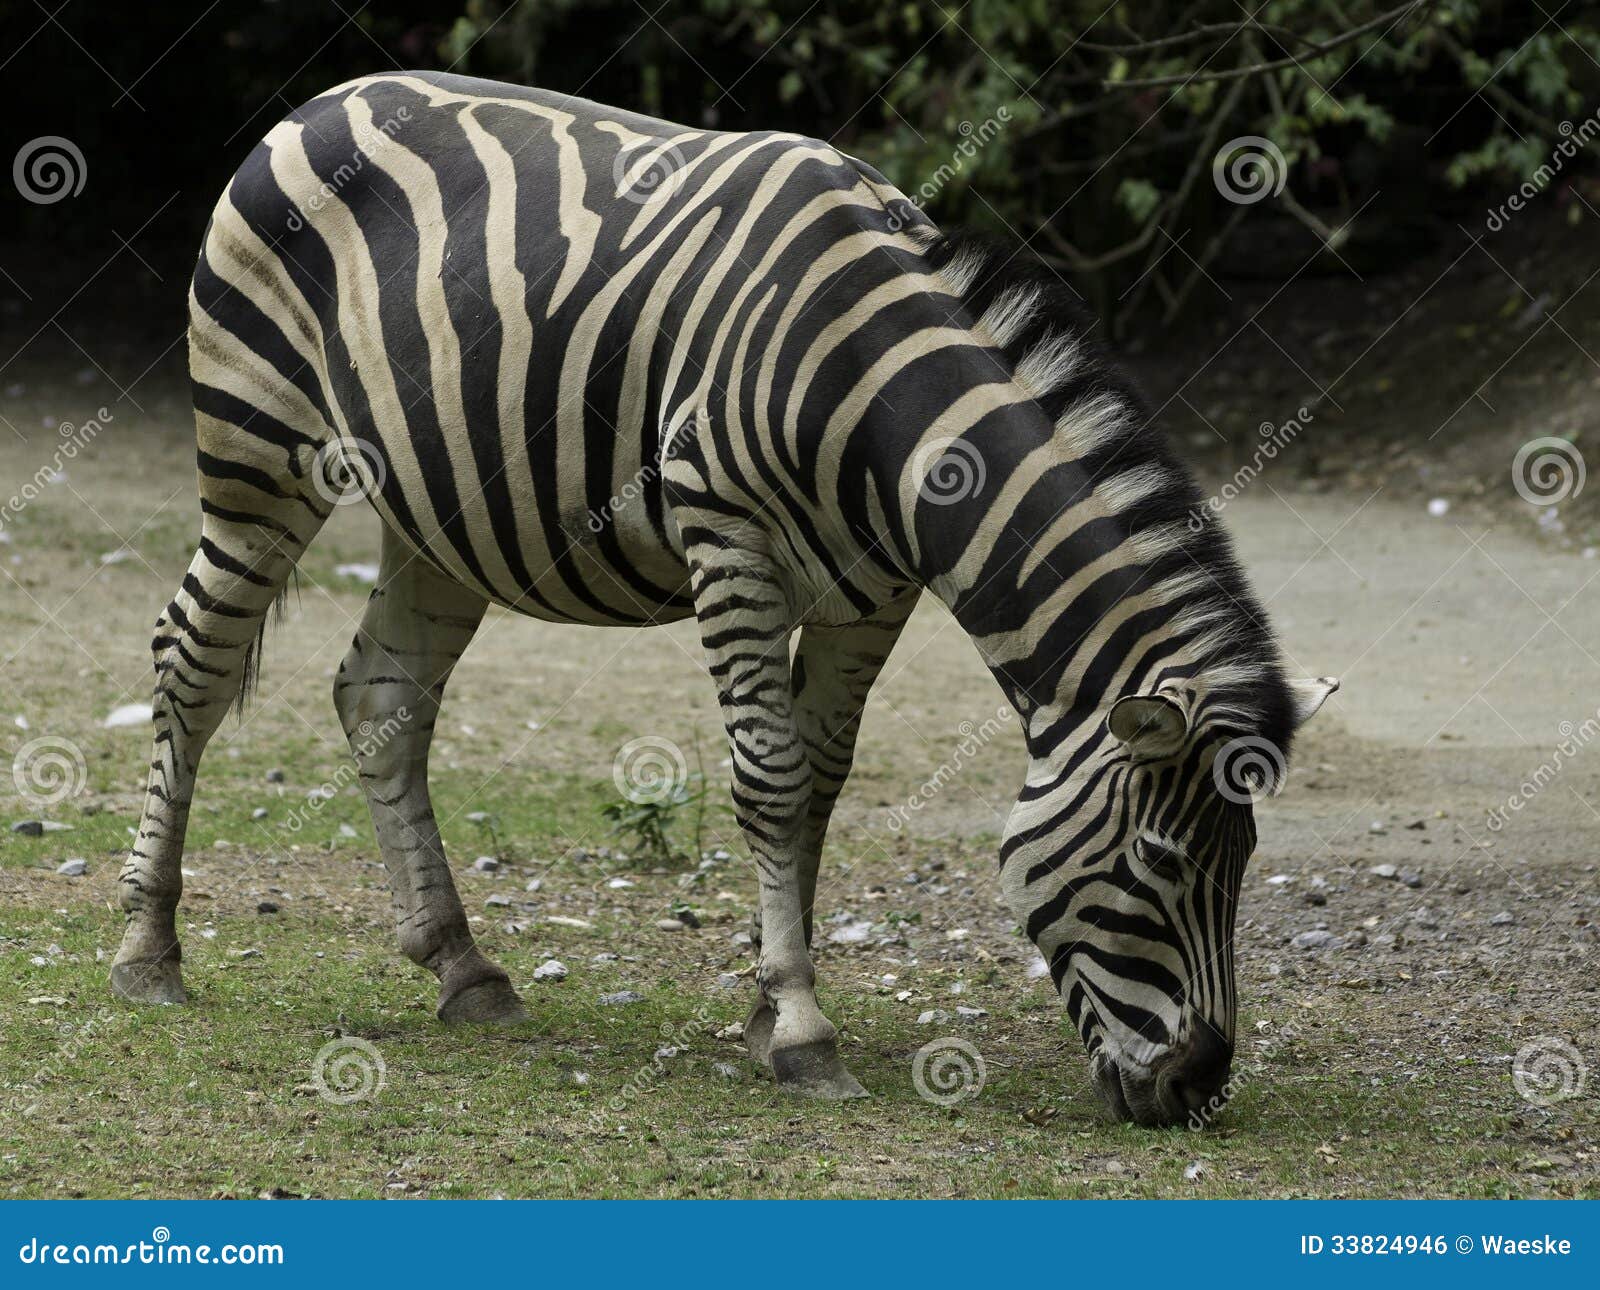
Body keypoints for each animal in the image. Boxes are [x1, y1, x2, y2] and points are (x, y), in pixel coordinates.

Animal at [113, 70, 1338, 1126]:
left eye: (1243, 864)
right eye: (1160, 863)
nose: (1198, 1088)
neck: (883, 408)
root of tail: (322, 98)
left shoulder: (871, 594)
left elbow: (822, 784)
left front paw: (766, 1003)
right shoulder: (728, 538)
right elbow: (770, 779)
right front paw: (798, 1030)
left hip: (436, 513)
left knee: (382, 697)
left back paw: (462, 966)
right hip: (260, 446)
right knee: (192, 661)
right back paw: (147, 950)